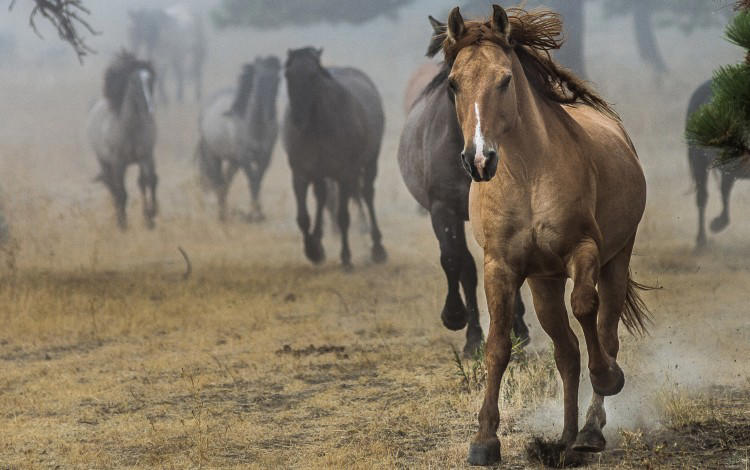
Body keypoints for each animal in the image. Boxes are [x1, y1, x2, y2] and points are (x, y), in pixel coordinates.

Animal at [87, 52, 158, 231]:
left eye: (151, 80)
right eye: (134, 82)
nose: (149, 110)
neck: (130, 128)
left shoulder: (146, 157)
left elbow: (149, 181)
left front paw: (151, 217)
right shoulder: (118, 162)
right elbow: (122, 193)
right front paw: (123, 224)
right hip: (105, 163)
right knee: (114, 189)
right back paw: (120, 219)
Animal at [197, 57, 281, 222]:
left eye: (278, 79)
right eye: (259, 80)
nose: (270, 114)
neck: (256, 127)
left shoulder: (265, 157)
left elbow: (258, 180)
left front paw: (258, 213)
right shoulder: (244, 157)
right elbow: (253, 180)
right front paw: (255, 214)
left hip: (233, 161)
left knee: (225, 182)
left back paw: (225, 212)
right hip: (213, 156)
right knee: (218, 181)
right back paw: (222, 214)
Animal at [283, 47, 386, 270]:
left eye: (314, 76)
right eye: (287, 75)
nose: (297, 119)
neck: (317, 127)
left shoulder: (344, 174)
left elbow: (343, 216)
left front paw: (346, 258)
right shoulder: (300, 174)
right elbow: (303, 217)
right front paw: (313, 251)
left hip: (370, 162)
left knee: (367, 194)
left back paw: (377, 248)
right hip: (321, 174)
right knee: (322, 197)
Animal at [397, 16, 528, 357]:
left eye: (505, 80)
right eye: (452, 82)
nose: (479, 158)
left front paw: (516, 330)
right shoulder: (443, 209)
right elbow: (454, 260)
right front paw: (459, 322)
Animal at [434, 6, 650, 465]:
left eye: (505, 80)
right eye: (453, 83)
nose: (479, 160)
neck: (527, 175)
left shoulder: (584, 250)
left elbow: (585, 308)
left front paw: (608, 379)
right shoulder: (501, 267)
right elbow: (498, 346)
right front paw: (485, 440)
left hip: (615, 262)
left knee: (604, 333)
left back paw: (590, 429)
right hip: (543, 284)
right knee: (566, 352)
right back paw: (565, 437)